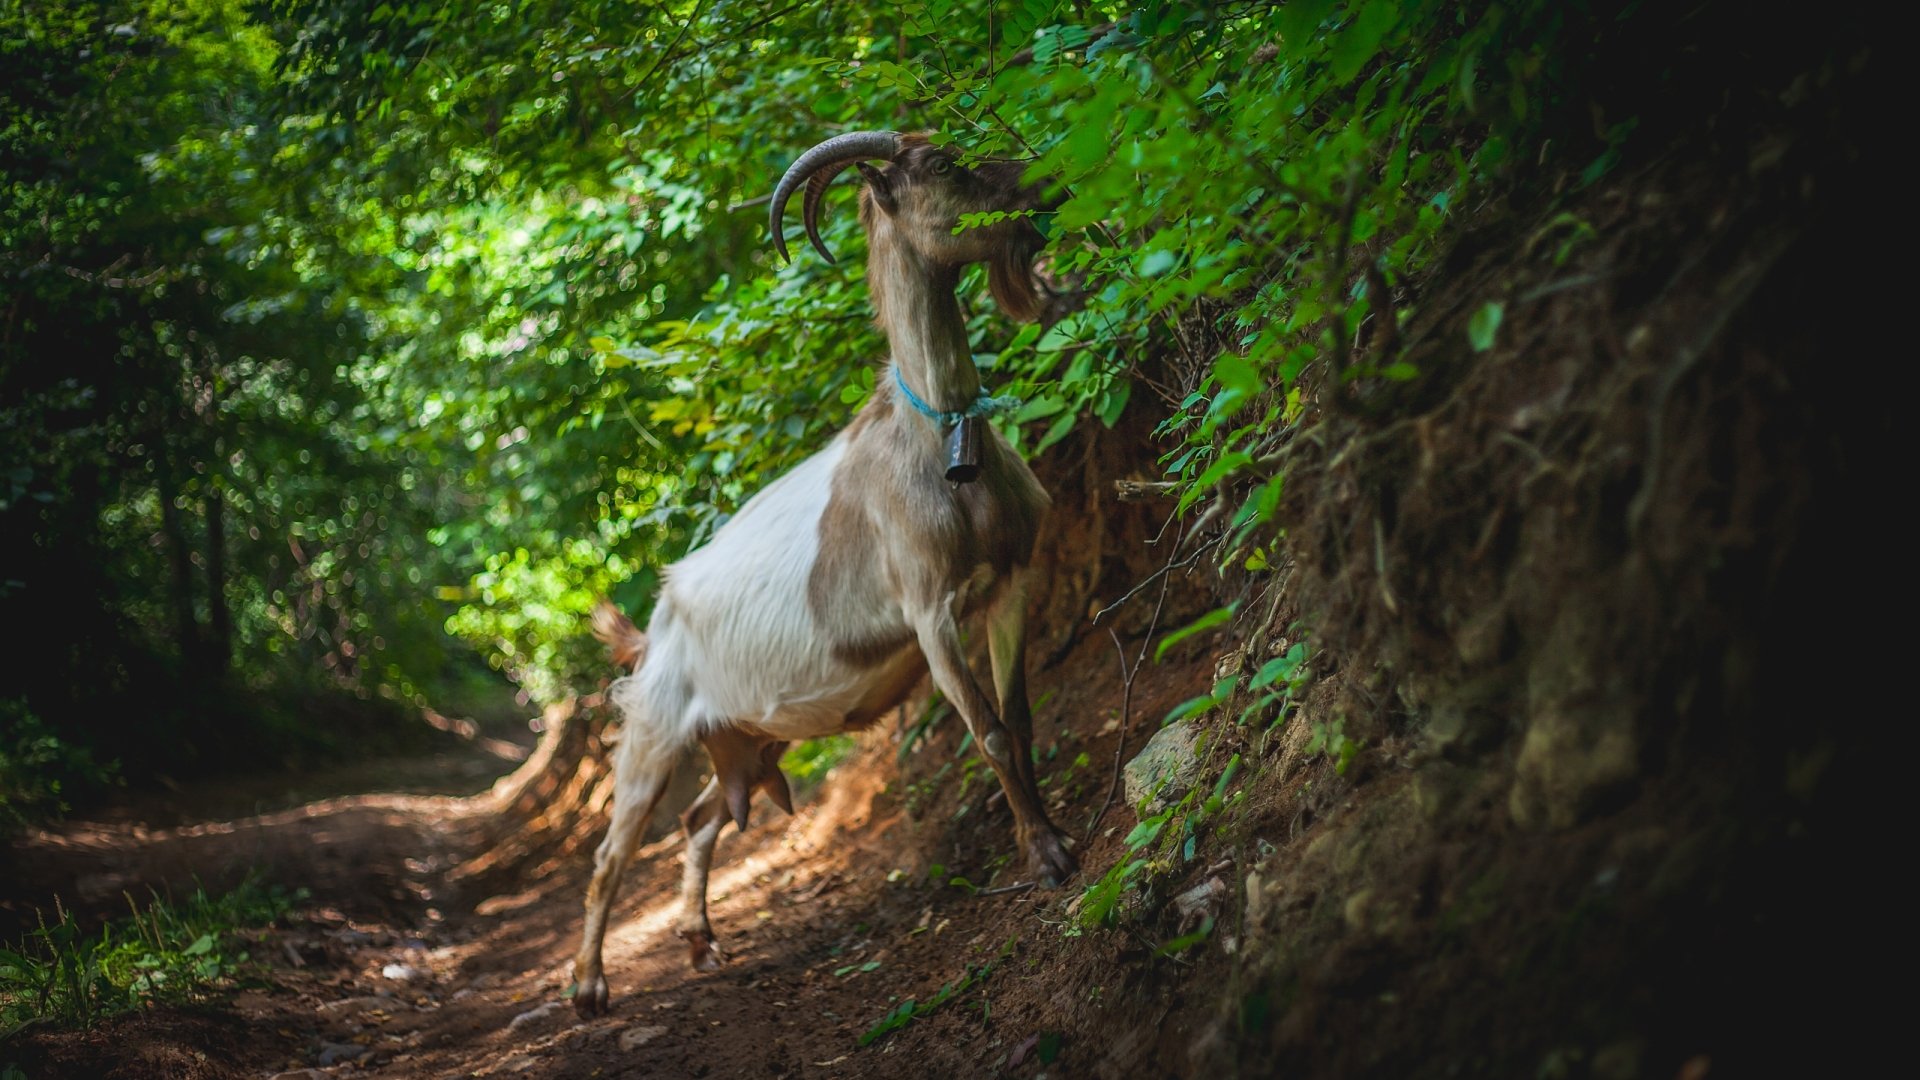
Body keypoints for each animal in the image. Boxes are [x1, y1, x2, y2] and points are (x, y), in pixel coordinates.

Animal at [571, 131, 1077, 1017]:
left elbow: (1017, 721)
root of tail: (651, 628)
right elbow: (986, 732)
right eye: (942, 166)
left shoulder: (1010, 584)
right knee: (611, 852)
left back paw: (700, 939)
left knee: (700, 820)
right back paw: (590, 986)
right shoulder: (932, 614)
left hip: (750, 739)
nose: (1044, 182)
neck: (940, 440)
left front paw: (1048, 836)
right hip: (654, 732)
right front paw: (1044, 858)